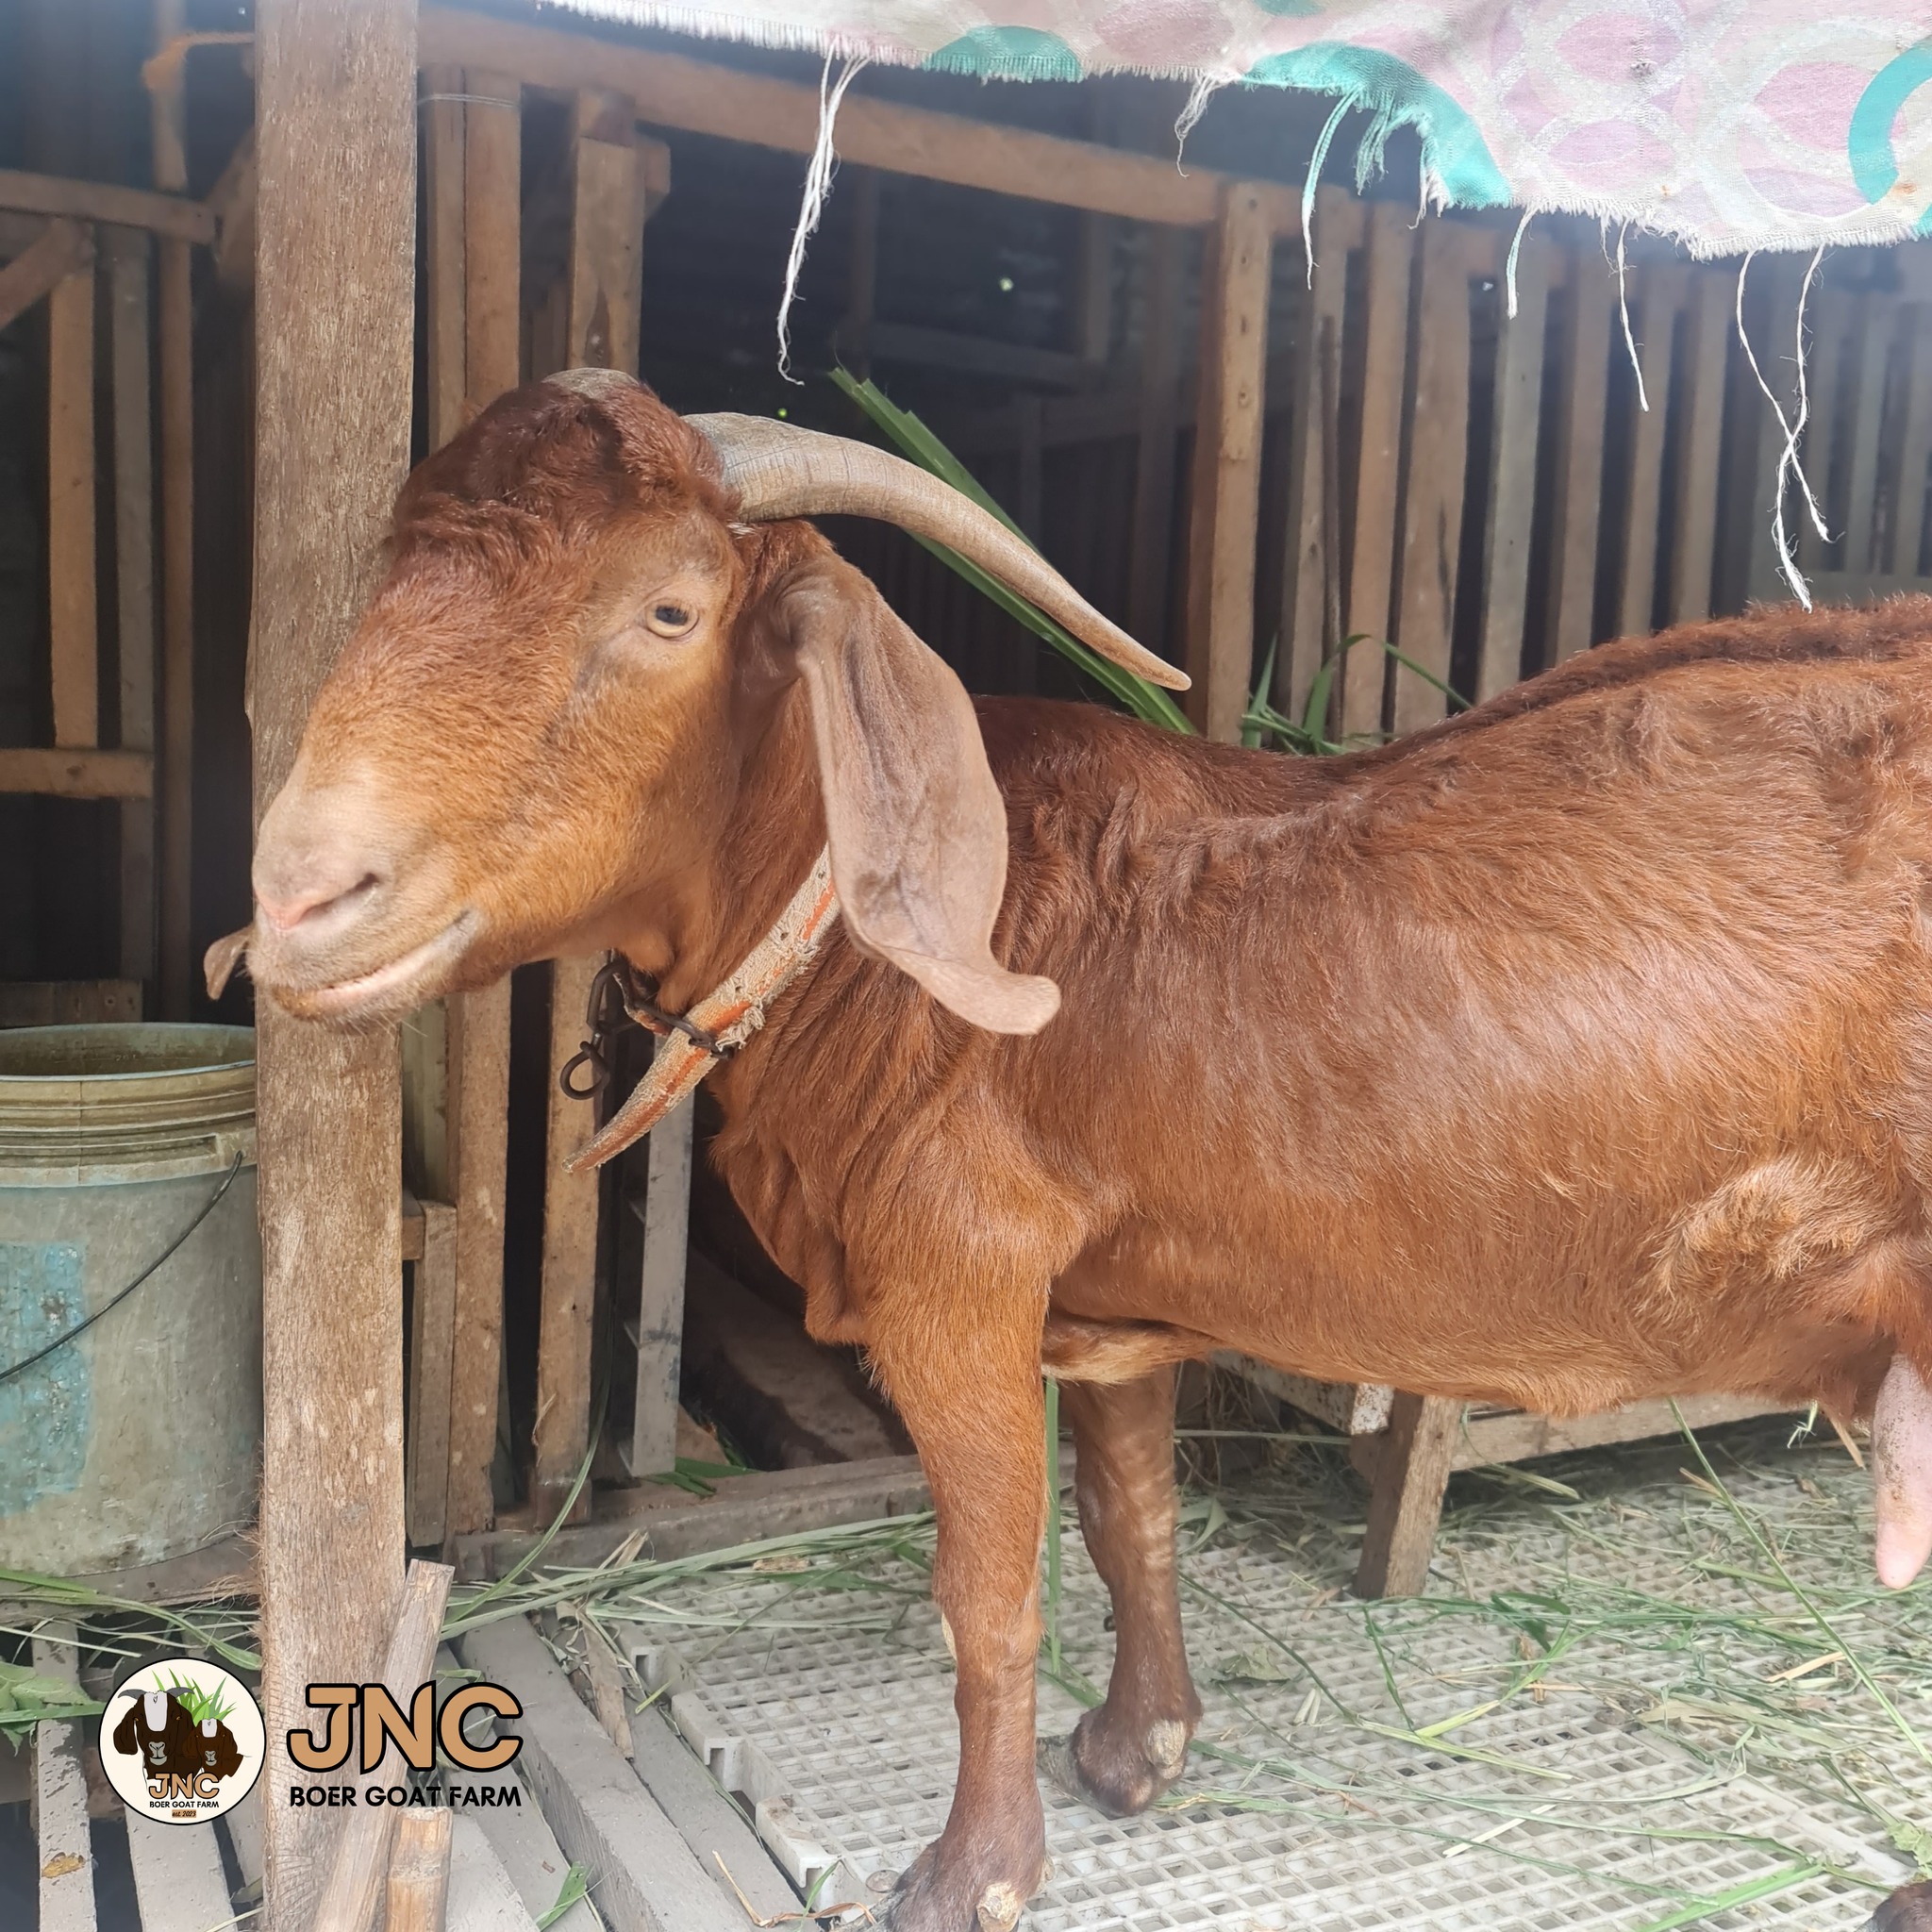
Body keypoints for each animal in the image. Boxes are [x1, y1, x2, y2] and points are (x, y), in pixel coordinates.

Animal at [230, 370, 1932, 1932]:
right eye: (386, 579)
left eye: (667, 607)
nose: (304, 893)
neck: (870, 943)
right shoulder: (1113, 1310)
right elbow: (1133, 1524)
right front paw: (1138, 1752)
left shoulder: (957, 1283)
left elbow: (986, 1594)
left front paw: (971, 1874)